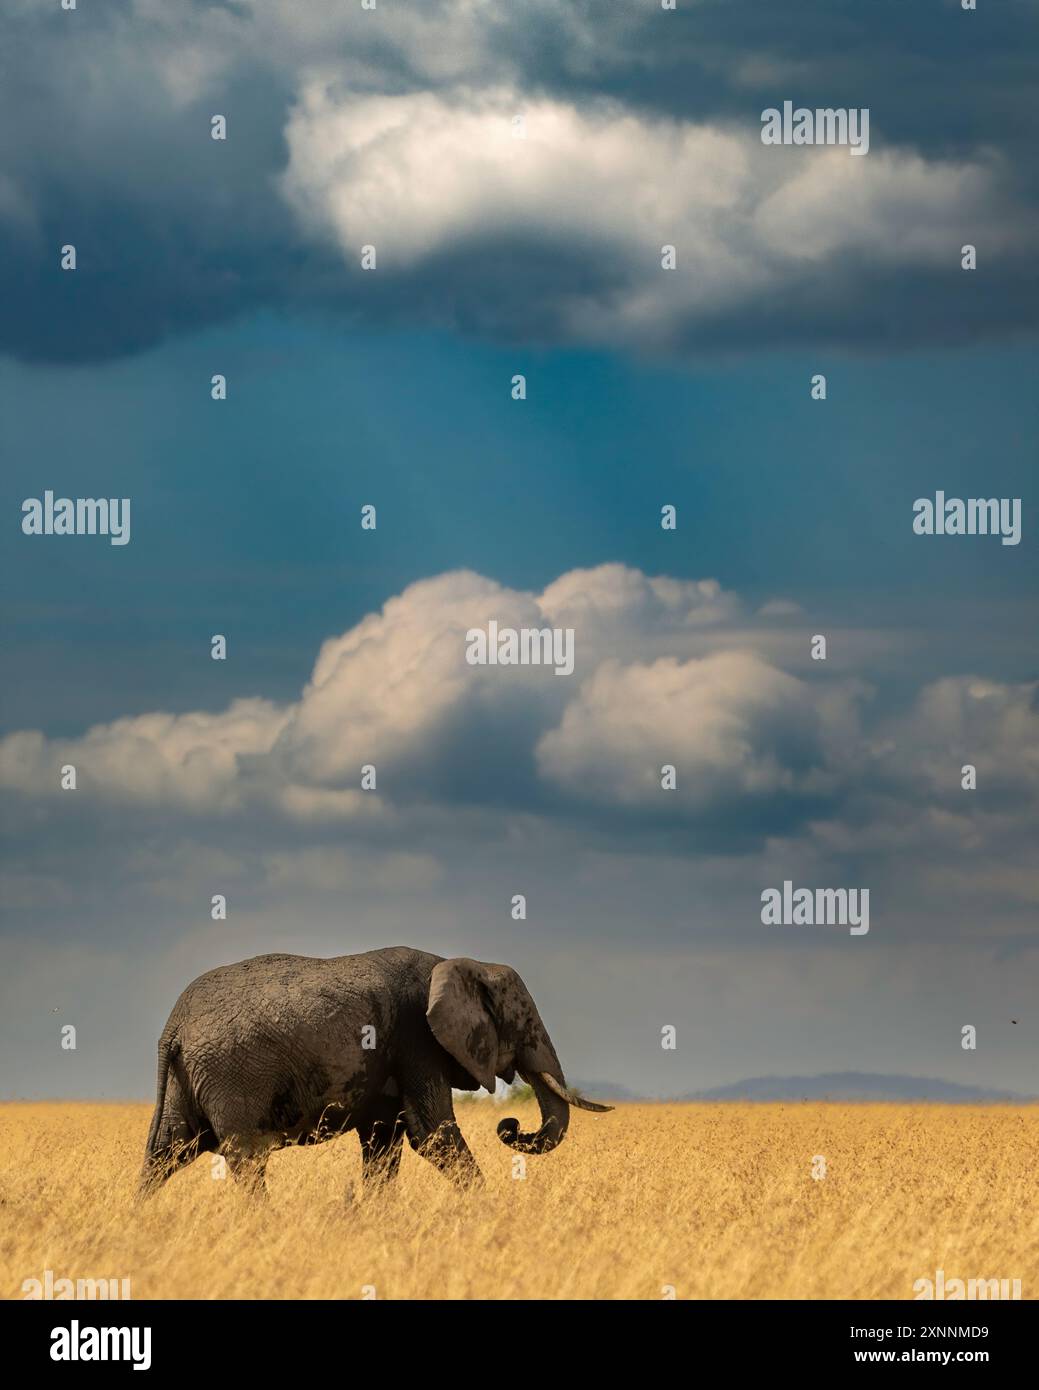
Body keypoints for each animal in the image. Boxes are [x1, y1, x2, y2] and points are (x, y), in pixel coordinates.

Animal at [138, 945, 611, 1196]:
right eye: (526, 1023)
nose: (509, 1124)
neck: (464, 963)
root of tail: (173, 1026)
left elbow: (385, 1142)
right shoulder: (417, 1039)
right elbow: (432, 1133)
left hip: (190, 1077)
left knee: (165, 1153)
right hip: (230, 1074)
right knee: (245, 1157)